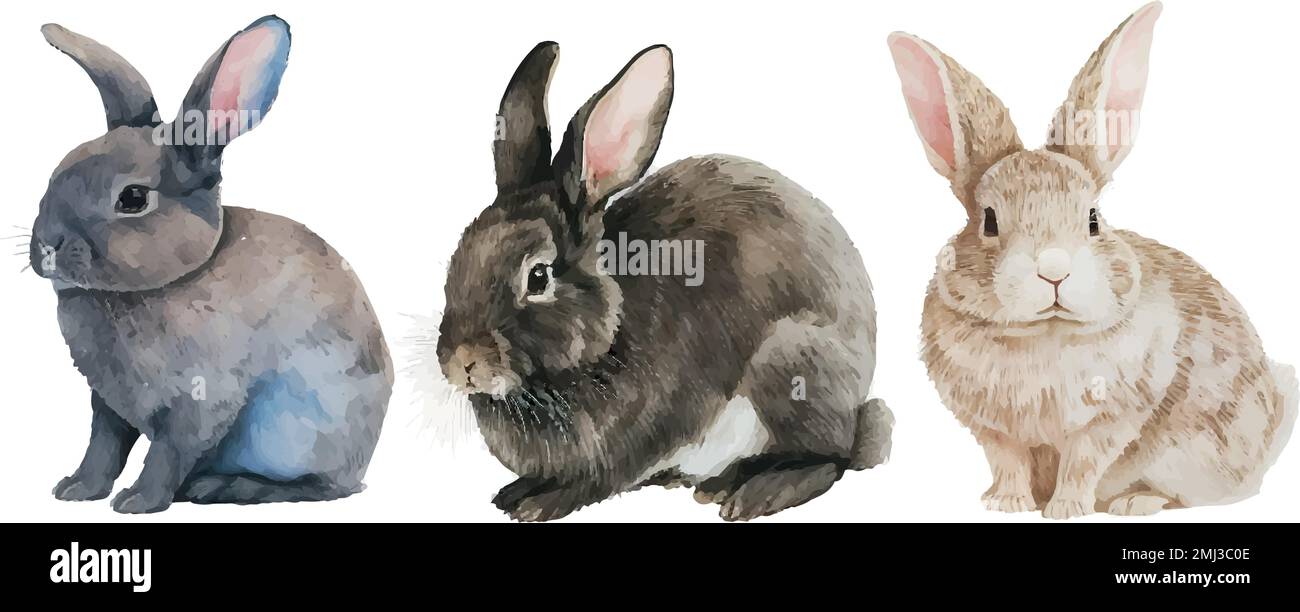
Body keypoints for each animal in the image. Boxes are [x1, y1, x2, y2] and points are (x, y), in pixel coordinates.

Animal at [29, 16, 393, 513]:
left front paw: (136, 502)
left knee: (323, 487)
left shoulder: (199, 403)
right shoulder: (107, 405)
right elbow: (103, 447)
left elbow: (166, 453)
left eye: (133, 198)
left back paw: (224, 487)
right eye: (55, 172)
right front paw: (75, 490)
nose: (46, 247)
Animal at [436, 42, 893, 522]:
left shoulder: (633, 441)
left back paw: (753, 491)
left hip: (791, 363)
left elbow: (595, 481)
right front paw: (513, 493)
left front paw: (536, 504)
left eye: (538, 277)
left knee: (829, 459)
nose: (459, 363)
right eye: (457, 257)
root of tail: (861, 405)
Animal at [887, 1, 1297, 519]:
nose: (1053, 270)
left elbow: (1082, 463)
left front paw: (1065, 509)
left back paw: (1136, 501)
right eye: (989, 222)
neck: (1043, 332)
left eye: (1093, 219)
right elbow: (1008, 461)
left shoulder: (1112, 417)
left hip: (1193, 452)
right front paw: (1007, 503)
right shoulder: (994, 429)